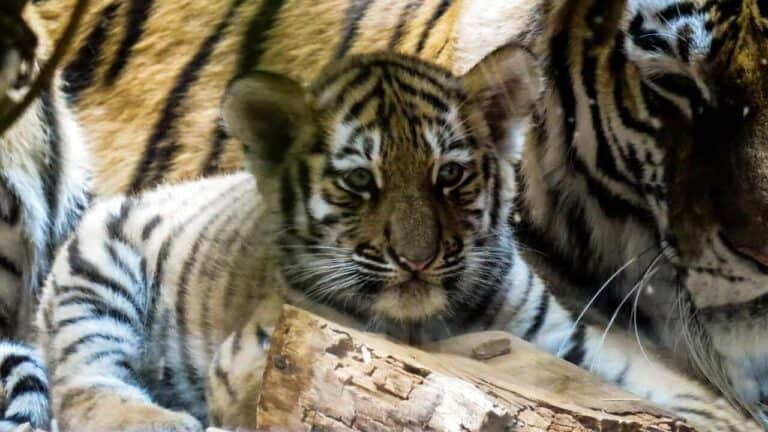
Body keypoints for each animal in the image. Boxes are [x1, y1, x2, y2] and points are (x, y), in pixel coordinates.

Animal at [30, 0, 768, 423]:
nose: (415, 259)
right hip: (95, 273)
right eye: (360, 181)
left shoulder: (568, 336)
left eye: (451, 174)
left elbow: (669, 387)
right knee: (83, 379)